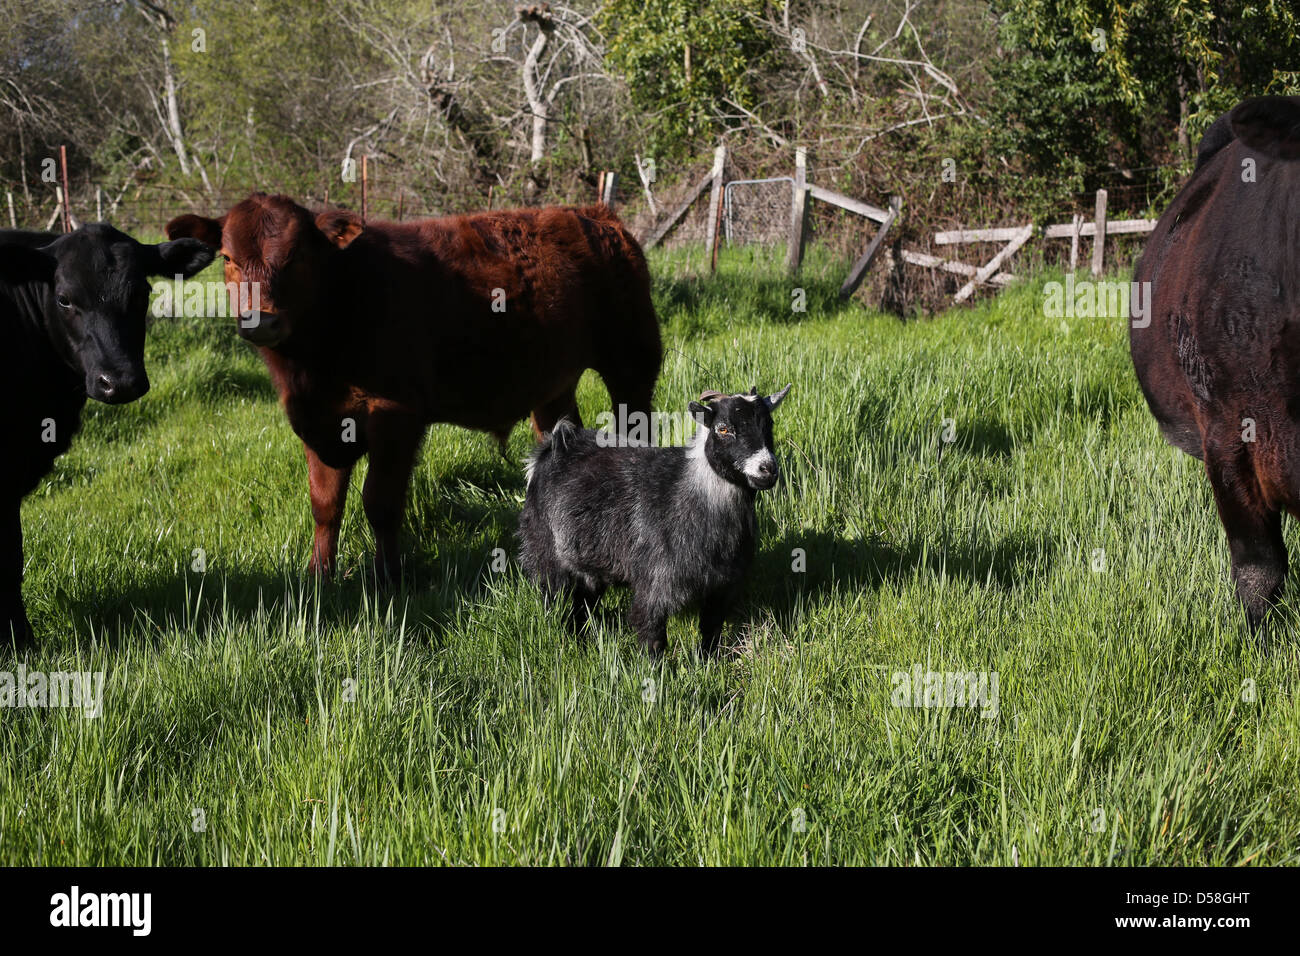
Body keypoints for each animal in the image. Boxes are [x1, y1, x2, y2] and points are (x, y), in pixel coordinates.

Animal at [165, 193, 662, 582]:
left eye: (297, 258)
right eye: (228, 259)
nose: (260, 320)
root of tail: (594, 213)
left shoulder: (395, 416)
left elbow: (380, 502)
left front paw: (389, 578)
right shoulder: (318, 421)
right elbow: (324, 504)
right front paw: (319, 576)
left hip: (632, 360)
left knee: (637, 429)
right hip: (551, 385)